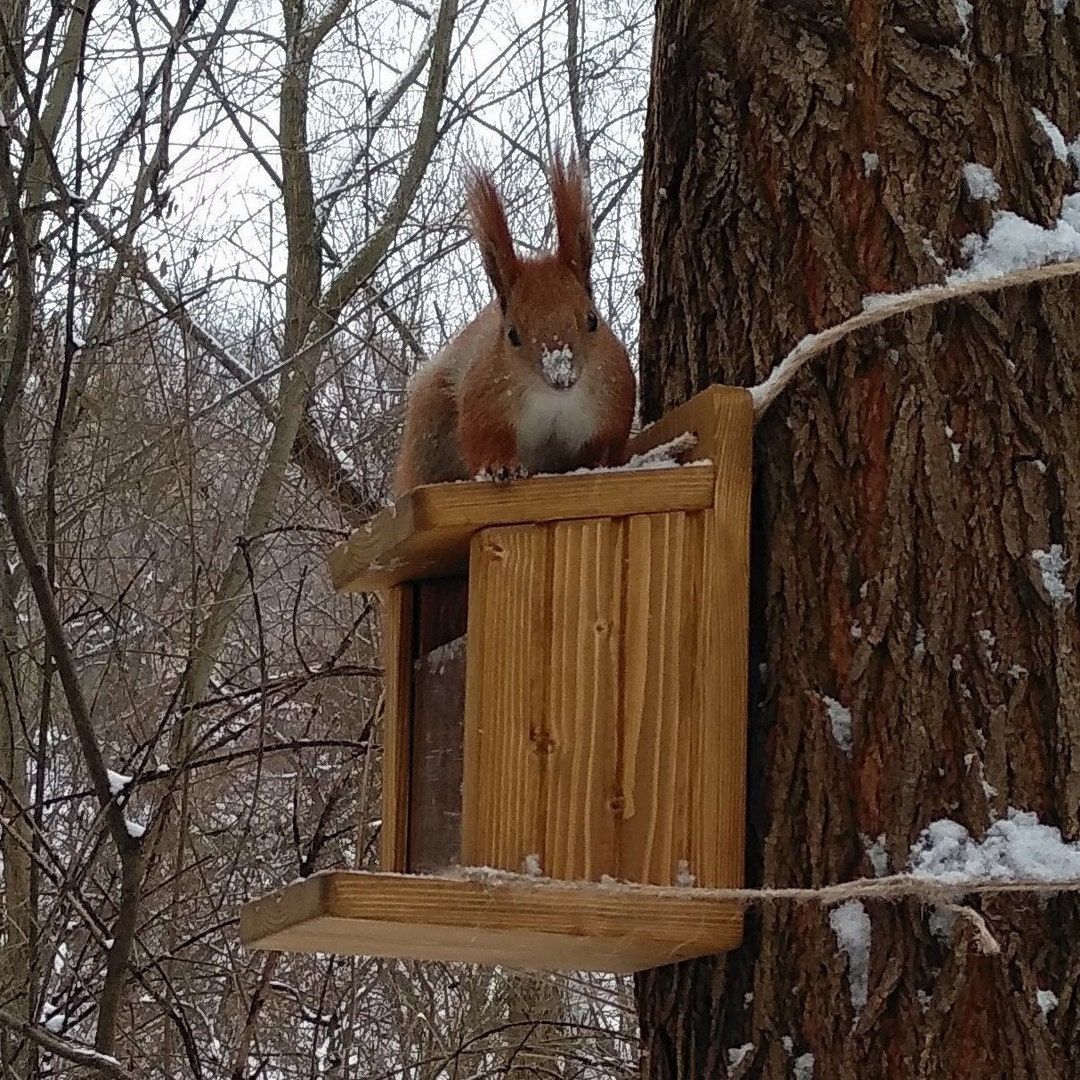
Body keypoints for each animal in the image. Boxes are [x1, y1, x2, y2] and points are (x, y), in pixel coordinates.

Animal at [393, 155, 637, 495]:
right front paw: (502, 468)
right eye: (512, 334)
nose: (561, 376)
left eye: (592, 320)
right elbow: (484, 441)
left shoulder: (611, 408)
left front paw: (597, 465)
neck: (553, 400)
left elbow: (603, 445)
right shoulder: (487, 401)